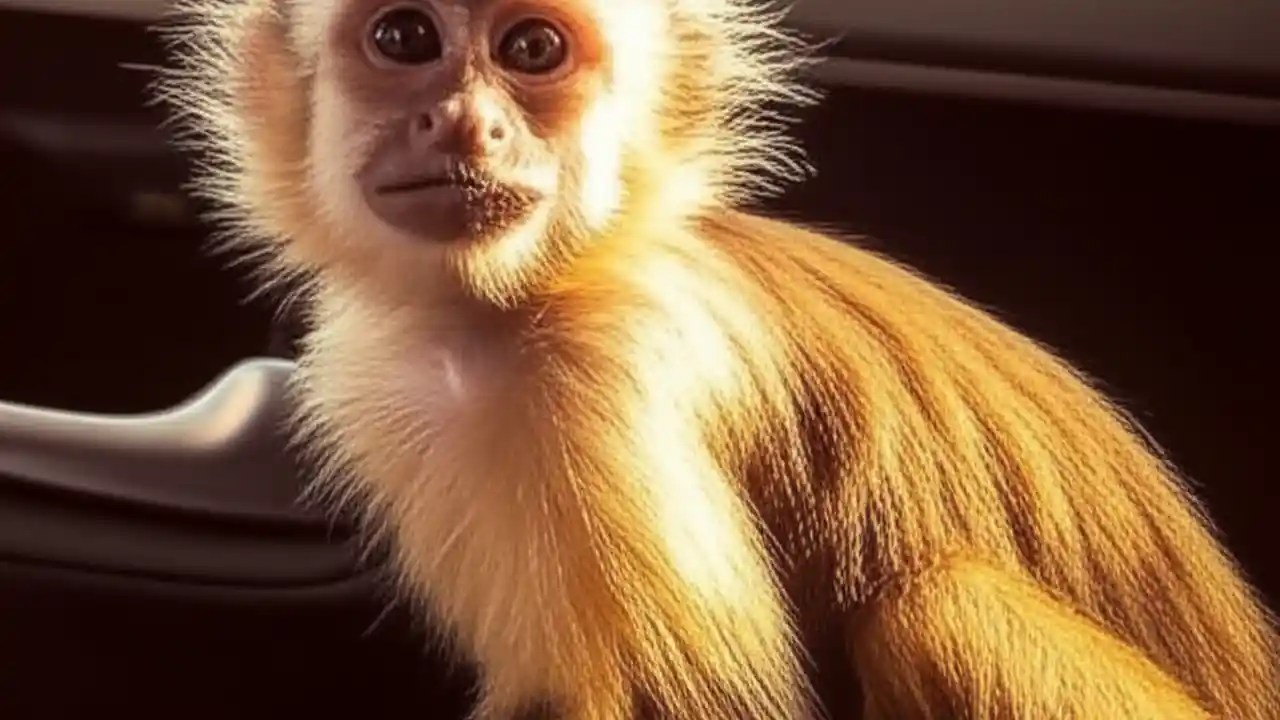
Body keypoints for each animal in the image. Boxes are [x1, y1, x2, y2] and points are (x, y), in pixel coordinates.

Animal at [156, 0, 1280, 717]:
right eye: (403, 38)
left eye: (531, 47)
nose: (468, 123)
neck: (508, 311)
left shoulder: (607, 377)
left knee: (938, 610)